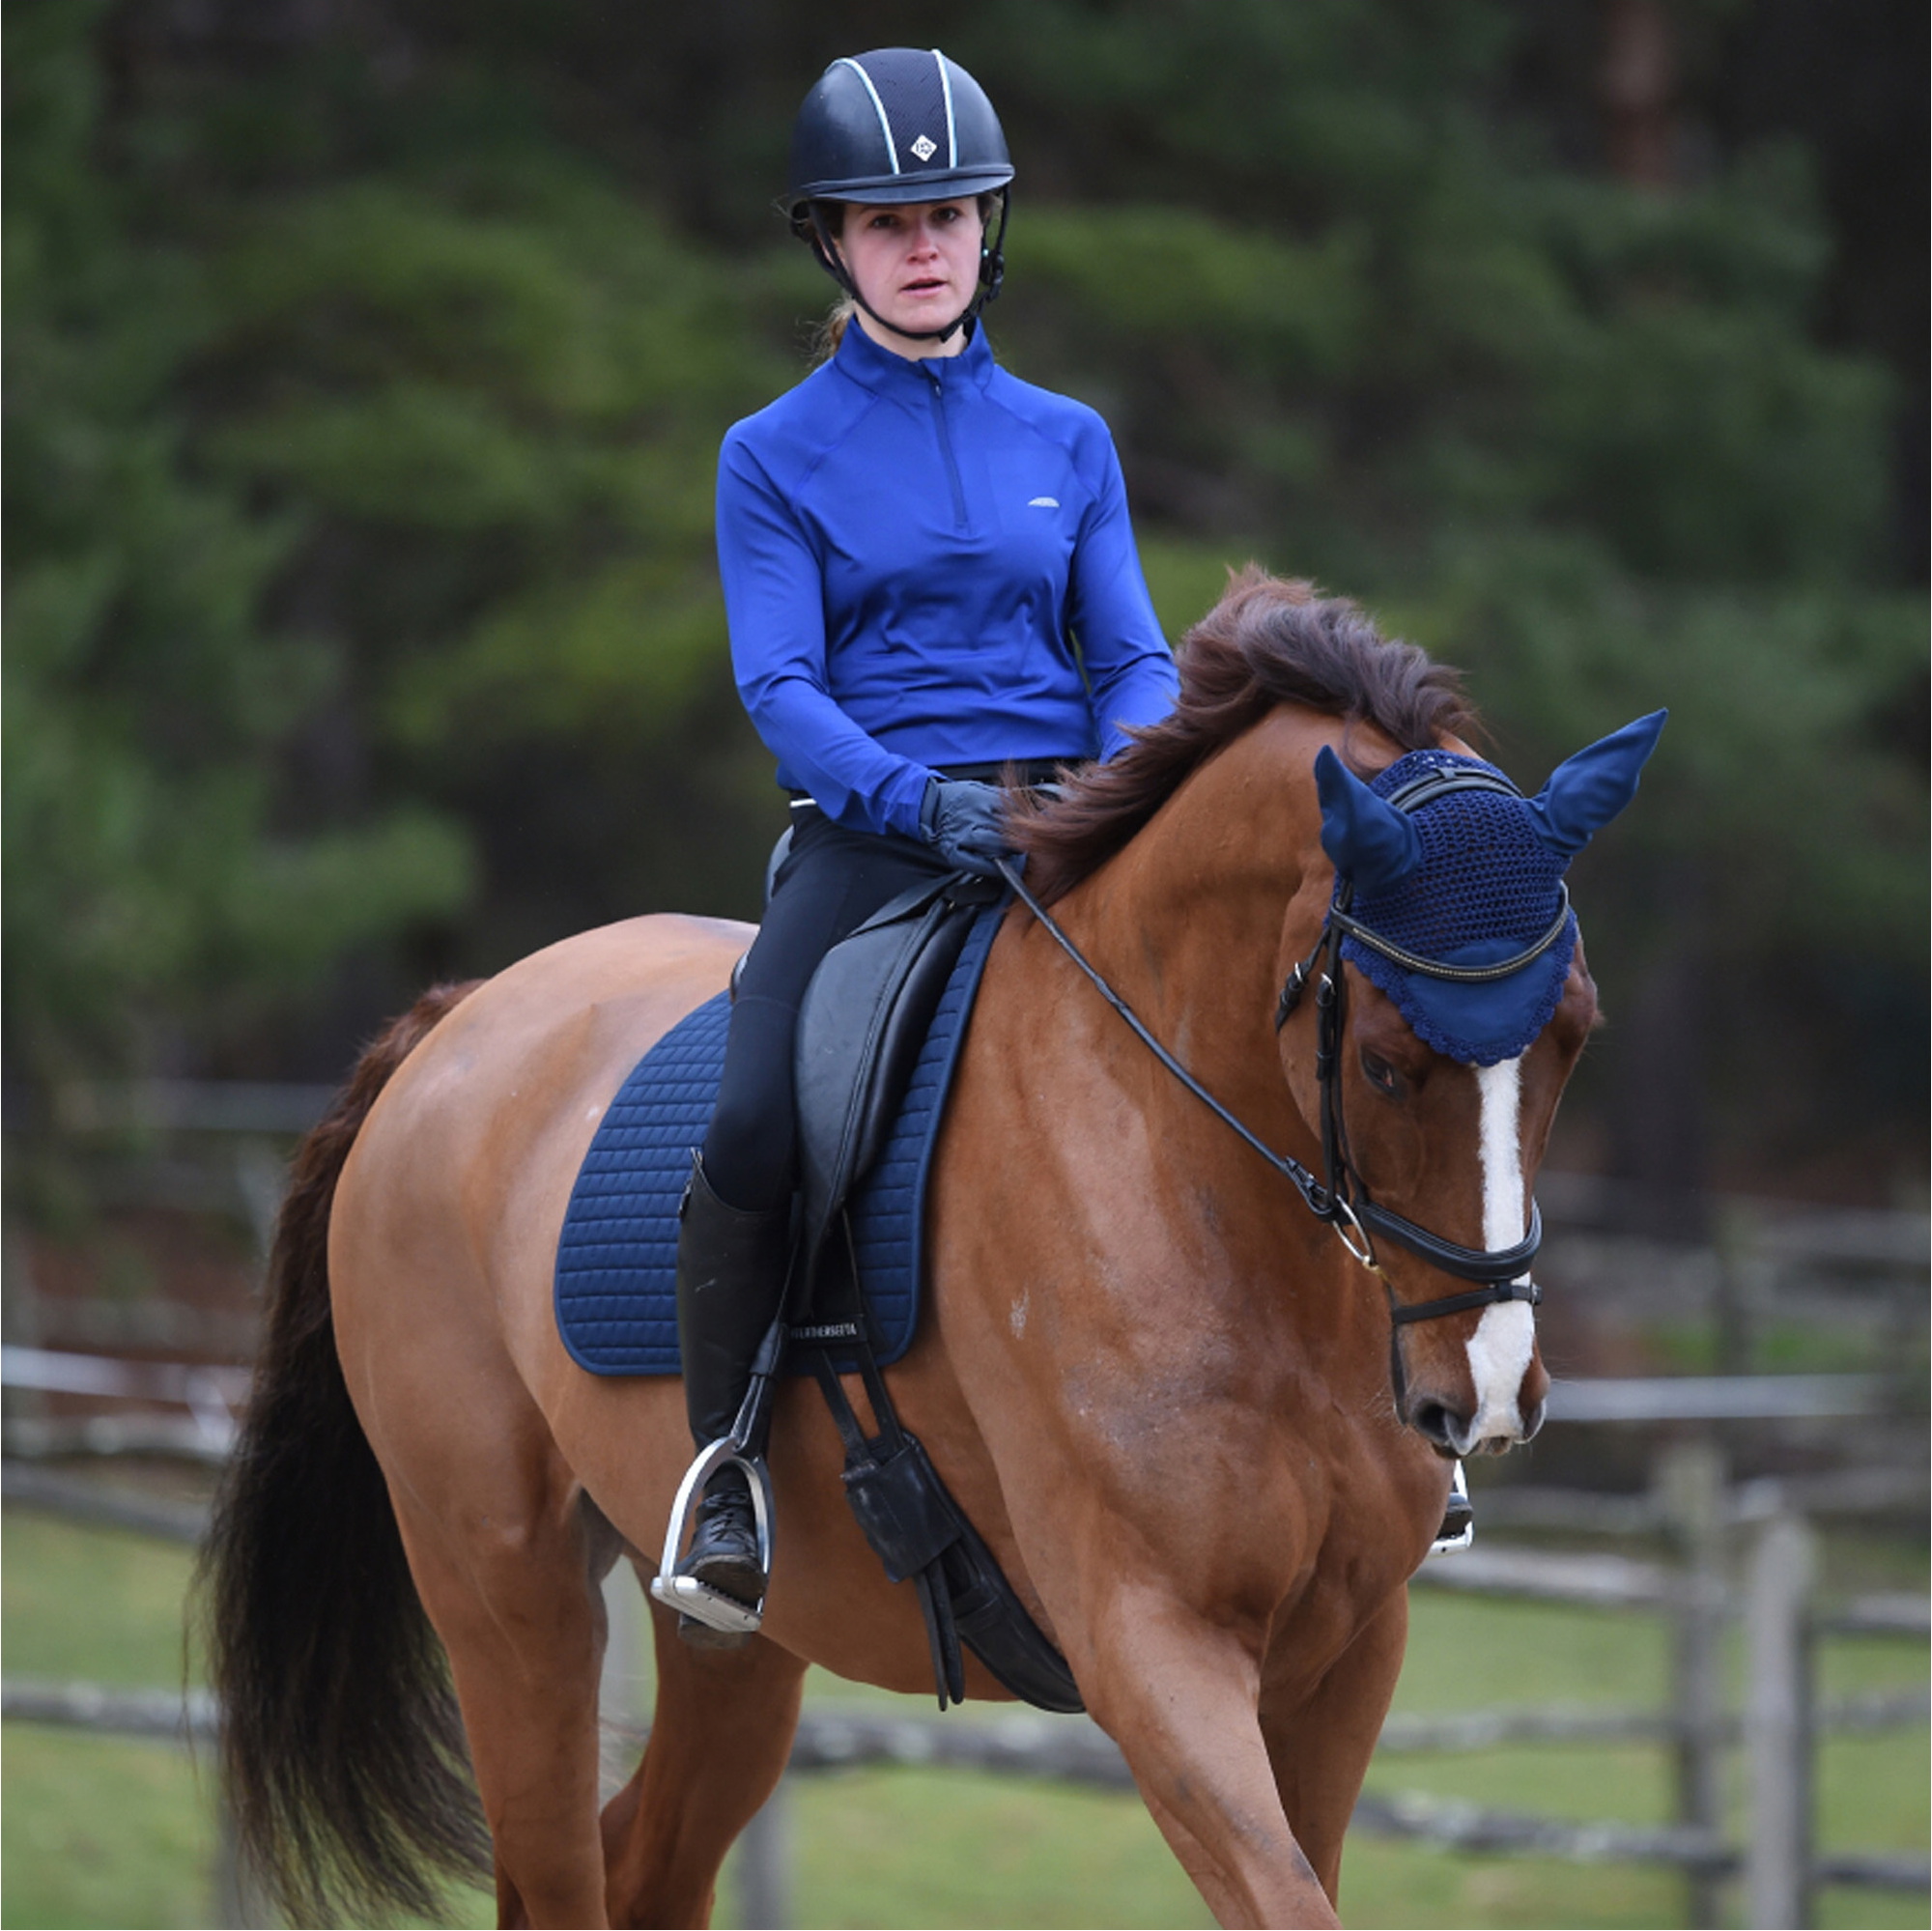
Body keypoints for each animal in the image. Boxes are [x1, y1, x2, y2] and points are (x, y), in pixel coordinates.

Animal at [201, 569, 1659, 1929]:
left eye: (1573, 1035)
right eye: (1388, 1062)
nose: (1485, 1392)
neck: (1196, 1188)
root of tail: (455, 1022)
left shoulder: (1345, 1652)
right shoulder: (1152, 1643)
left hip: (738, 1644)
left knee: (644, 1860)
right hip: (507, 1593)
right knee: (559, 1865)